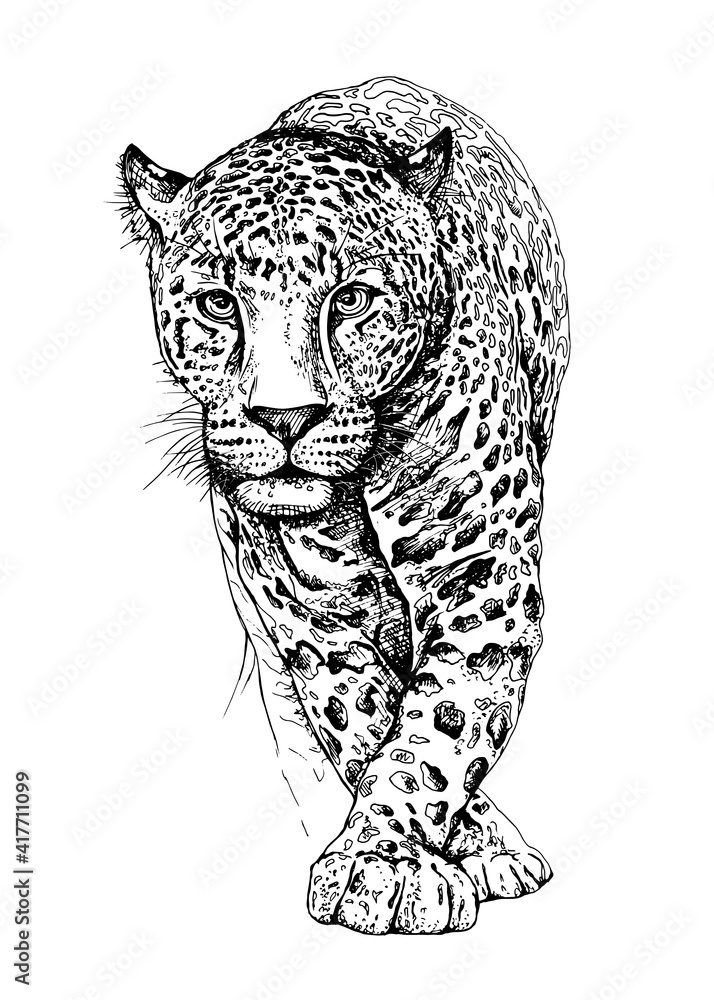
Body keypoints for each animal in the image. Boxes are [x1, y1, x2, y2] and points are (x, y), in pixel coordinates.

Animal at [120, 76, 569, 935]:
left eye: (352, 300)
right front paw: (429, 856)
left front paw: (385, 866)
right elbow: (362, 713)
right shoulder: (311, 608)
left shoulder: (483, 574)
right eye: (219, 305)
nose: (284, 417)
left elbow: (442, 722)